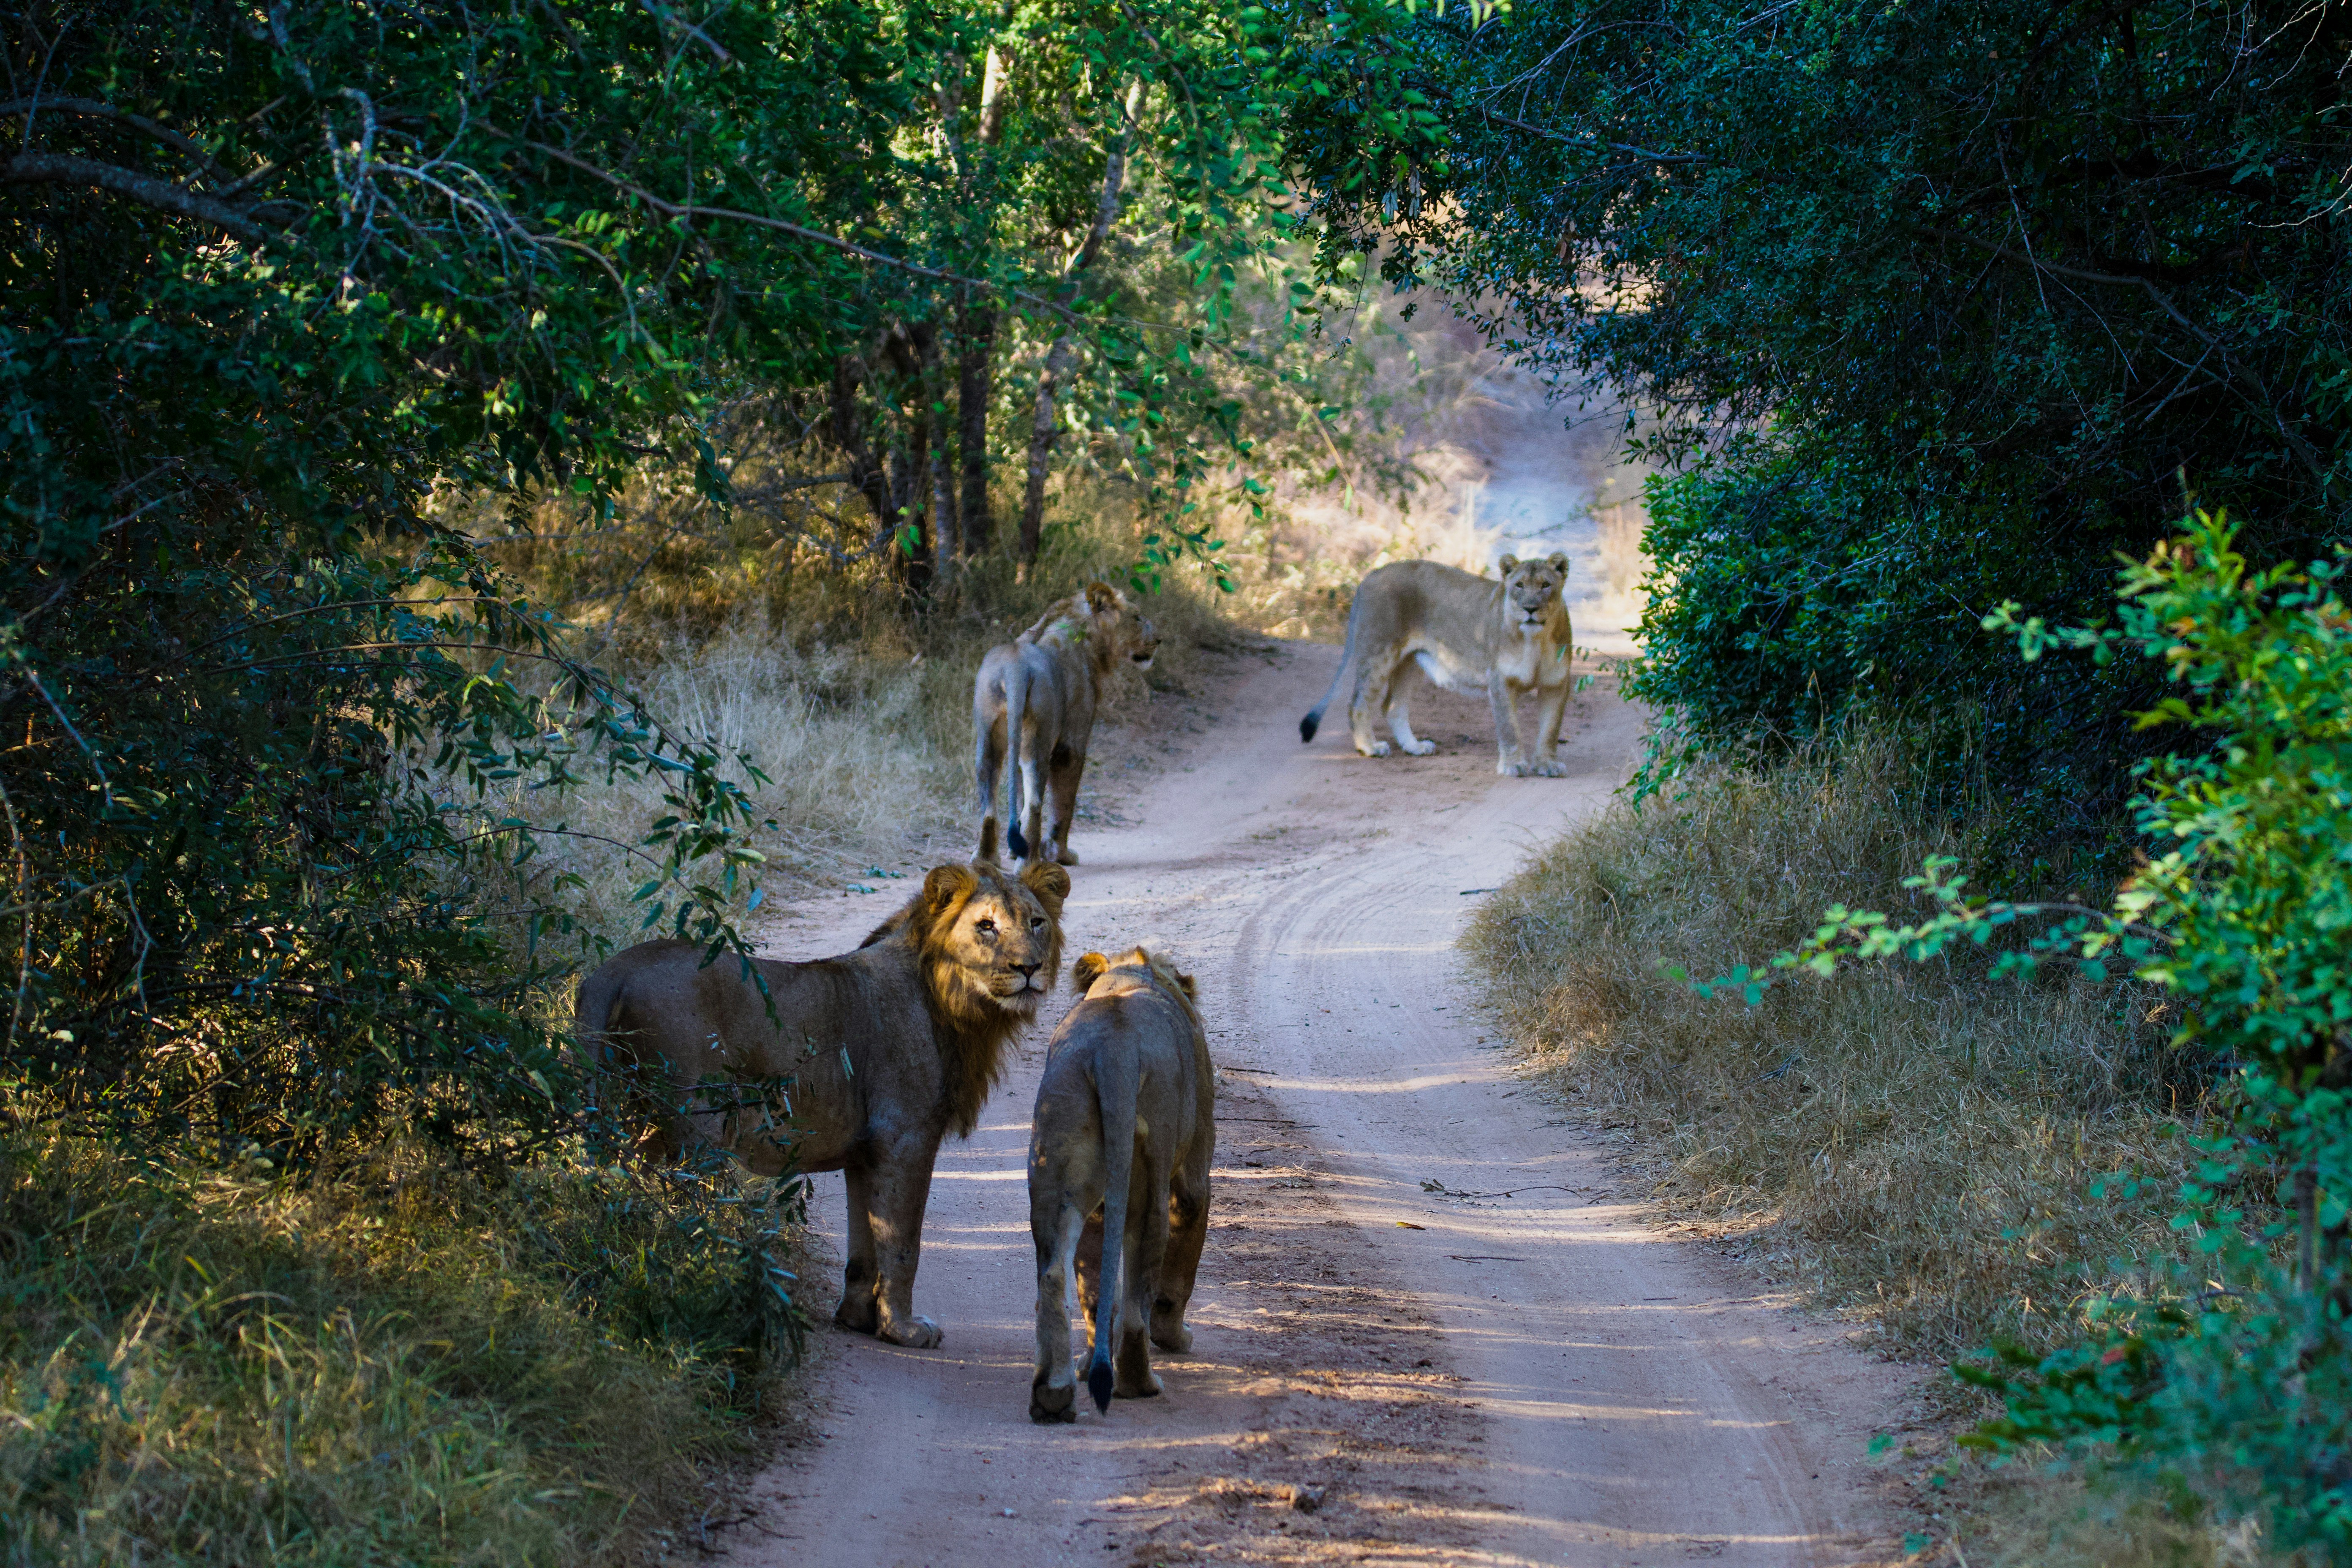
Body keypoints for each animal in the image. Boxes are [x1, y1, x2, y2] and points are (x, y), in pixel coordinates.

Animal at [573, 858, 1070, 1349]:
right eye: (986, 926)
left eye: (1037, 922)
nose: (1029, 967)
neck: (955, 1000)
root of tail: (612, 971)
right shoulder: (904, 1140)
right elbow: (904, 1244)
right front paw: (905, 1330)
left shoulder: (865, 1152)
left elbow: (865, 1246)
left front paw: (858, 1320)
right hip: (696, 1131)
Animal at [972, 581, 1159, 867]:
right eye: (1137, 617)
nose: (1159, 640)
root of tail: (1014, 670)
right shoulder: (1072, 739)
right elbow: (1065, 802)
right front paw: (1060, 854)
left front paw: (1014, 852)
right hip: (1039, 735)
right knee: (1035, 804)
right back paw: (1030, 861)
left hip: (989, 732)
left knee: (990, 798)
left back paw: (986, 859)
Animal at [1026, 947, 1213, 1421]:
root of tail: (1116, 1052)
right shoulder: (1194, 1176)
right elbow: (1178, 1275)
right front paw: (1177, 1339)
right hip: (1150, 1181)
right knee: (1134, 1307)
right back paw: (1138, 1383)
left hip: (1057, 1162)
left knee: (1059, 1278)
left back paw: (1056, 1391)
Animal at [1298, 554, 1577, 777]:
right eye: (1519, 585)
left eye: (1546, 585)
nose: (1530, 609)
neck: (1537, 641)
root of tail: (1372, 575)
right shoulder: (1500, 680)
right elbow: (1509, 727)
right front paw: (1513, 766)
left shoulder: (1557, 683)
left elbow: (1551, 729)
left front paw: (1548, 765)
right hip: (1379, 652)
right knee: (1359, 702)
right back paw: (1370, 747)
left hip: (1410, 662)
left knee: (1393, 706)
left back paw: (1415, 747)